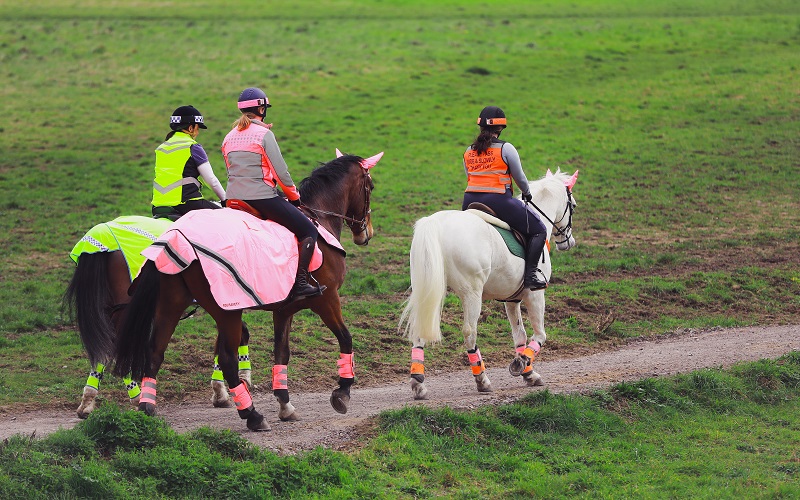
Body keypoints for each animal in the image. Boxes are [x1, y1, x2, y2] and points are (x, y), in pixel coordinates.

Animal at [113, 151, 382, 431]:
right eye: (371, 187)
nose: (366, 233)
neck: (319, 220)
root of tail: (176, 235)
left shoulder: (284, 309)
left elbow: (282, 352)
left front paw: (285, 404)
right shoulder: (327, 300)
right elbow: (345, 338)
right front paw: (342, 392)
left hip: (171, 304)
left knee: (155, 350)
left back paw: (147, 408)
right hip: (227, 311)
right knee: (227, 358)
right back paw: (252, 414)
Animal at [399, 169, 578, 400]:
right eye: (573, 205)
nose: (568, 242)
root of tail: (437, 223)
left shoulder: (512, 299)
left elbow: (519, 336)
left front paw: (529, 373)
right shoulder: (535, 294)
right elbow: (540, 335)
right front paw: (522, 363)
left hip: (428, 291)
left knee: (420, 328)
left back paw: (418, 383)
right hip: (472, 293)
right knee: (470, 333)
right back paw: (482, 380)